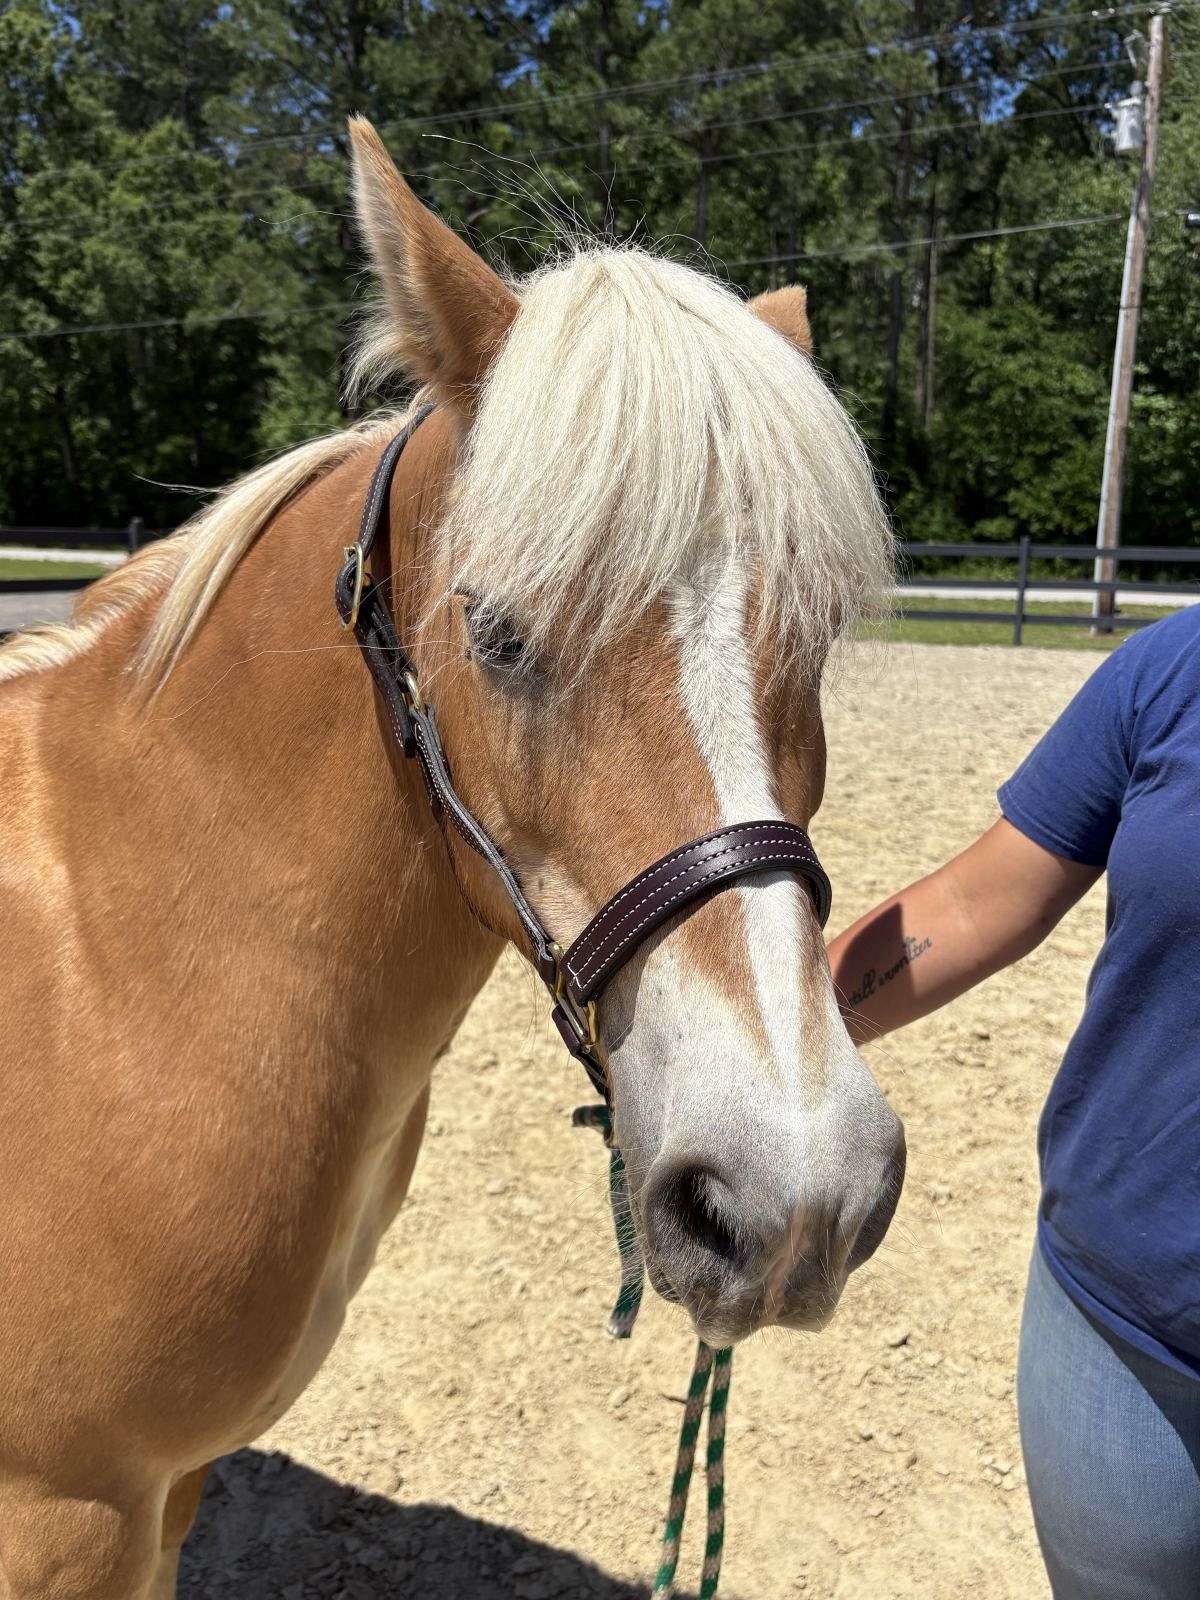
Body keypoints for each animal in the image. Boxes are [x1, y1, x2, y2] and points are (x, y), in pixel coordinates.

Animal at [0, 117, 904, 1598]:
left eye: (819, 639)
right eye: (498, 633)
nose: (797, 1197)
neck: (123, 963)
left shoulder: (168, 1492)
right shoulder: (64, 1512)